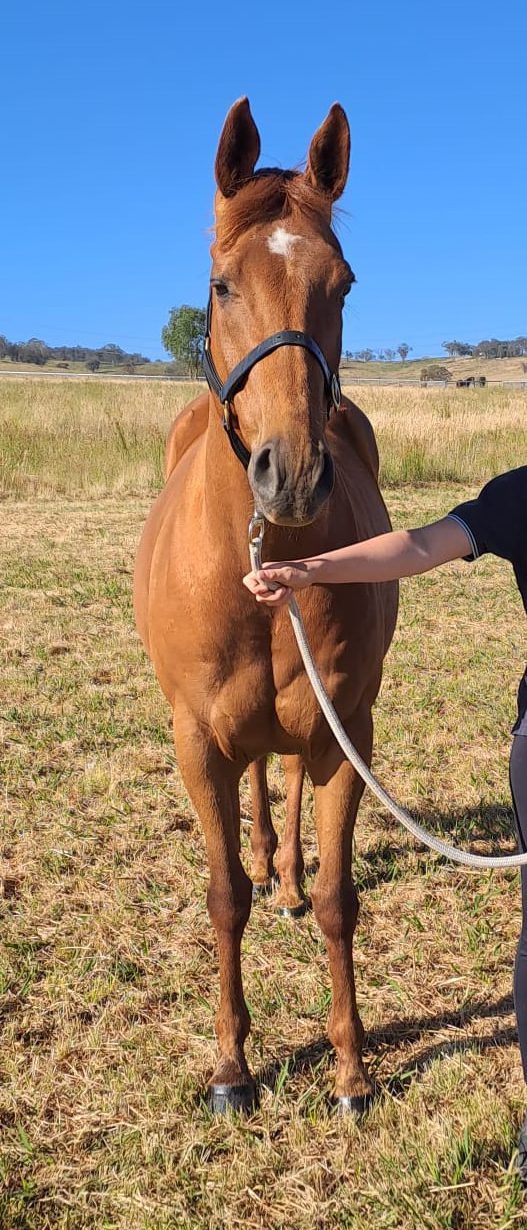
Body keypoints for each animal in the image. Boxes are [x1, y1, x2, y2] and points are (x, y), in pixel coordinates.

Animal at [134, 98, 398, 1114]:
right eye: (220, 286)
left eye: (343, 283)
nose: (291, 476)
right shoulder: (195, 740)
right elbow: (221, 897)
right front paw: (231, 1067)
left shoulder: (348, 730)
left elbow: (336, 899)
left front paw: (352, 1068)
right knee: (256, 785)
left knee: (283, 787)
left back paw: (283, 874)